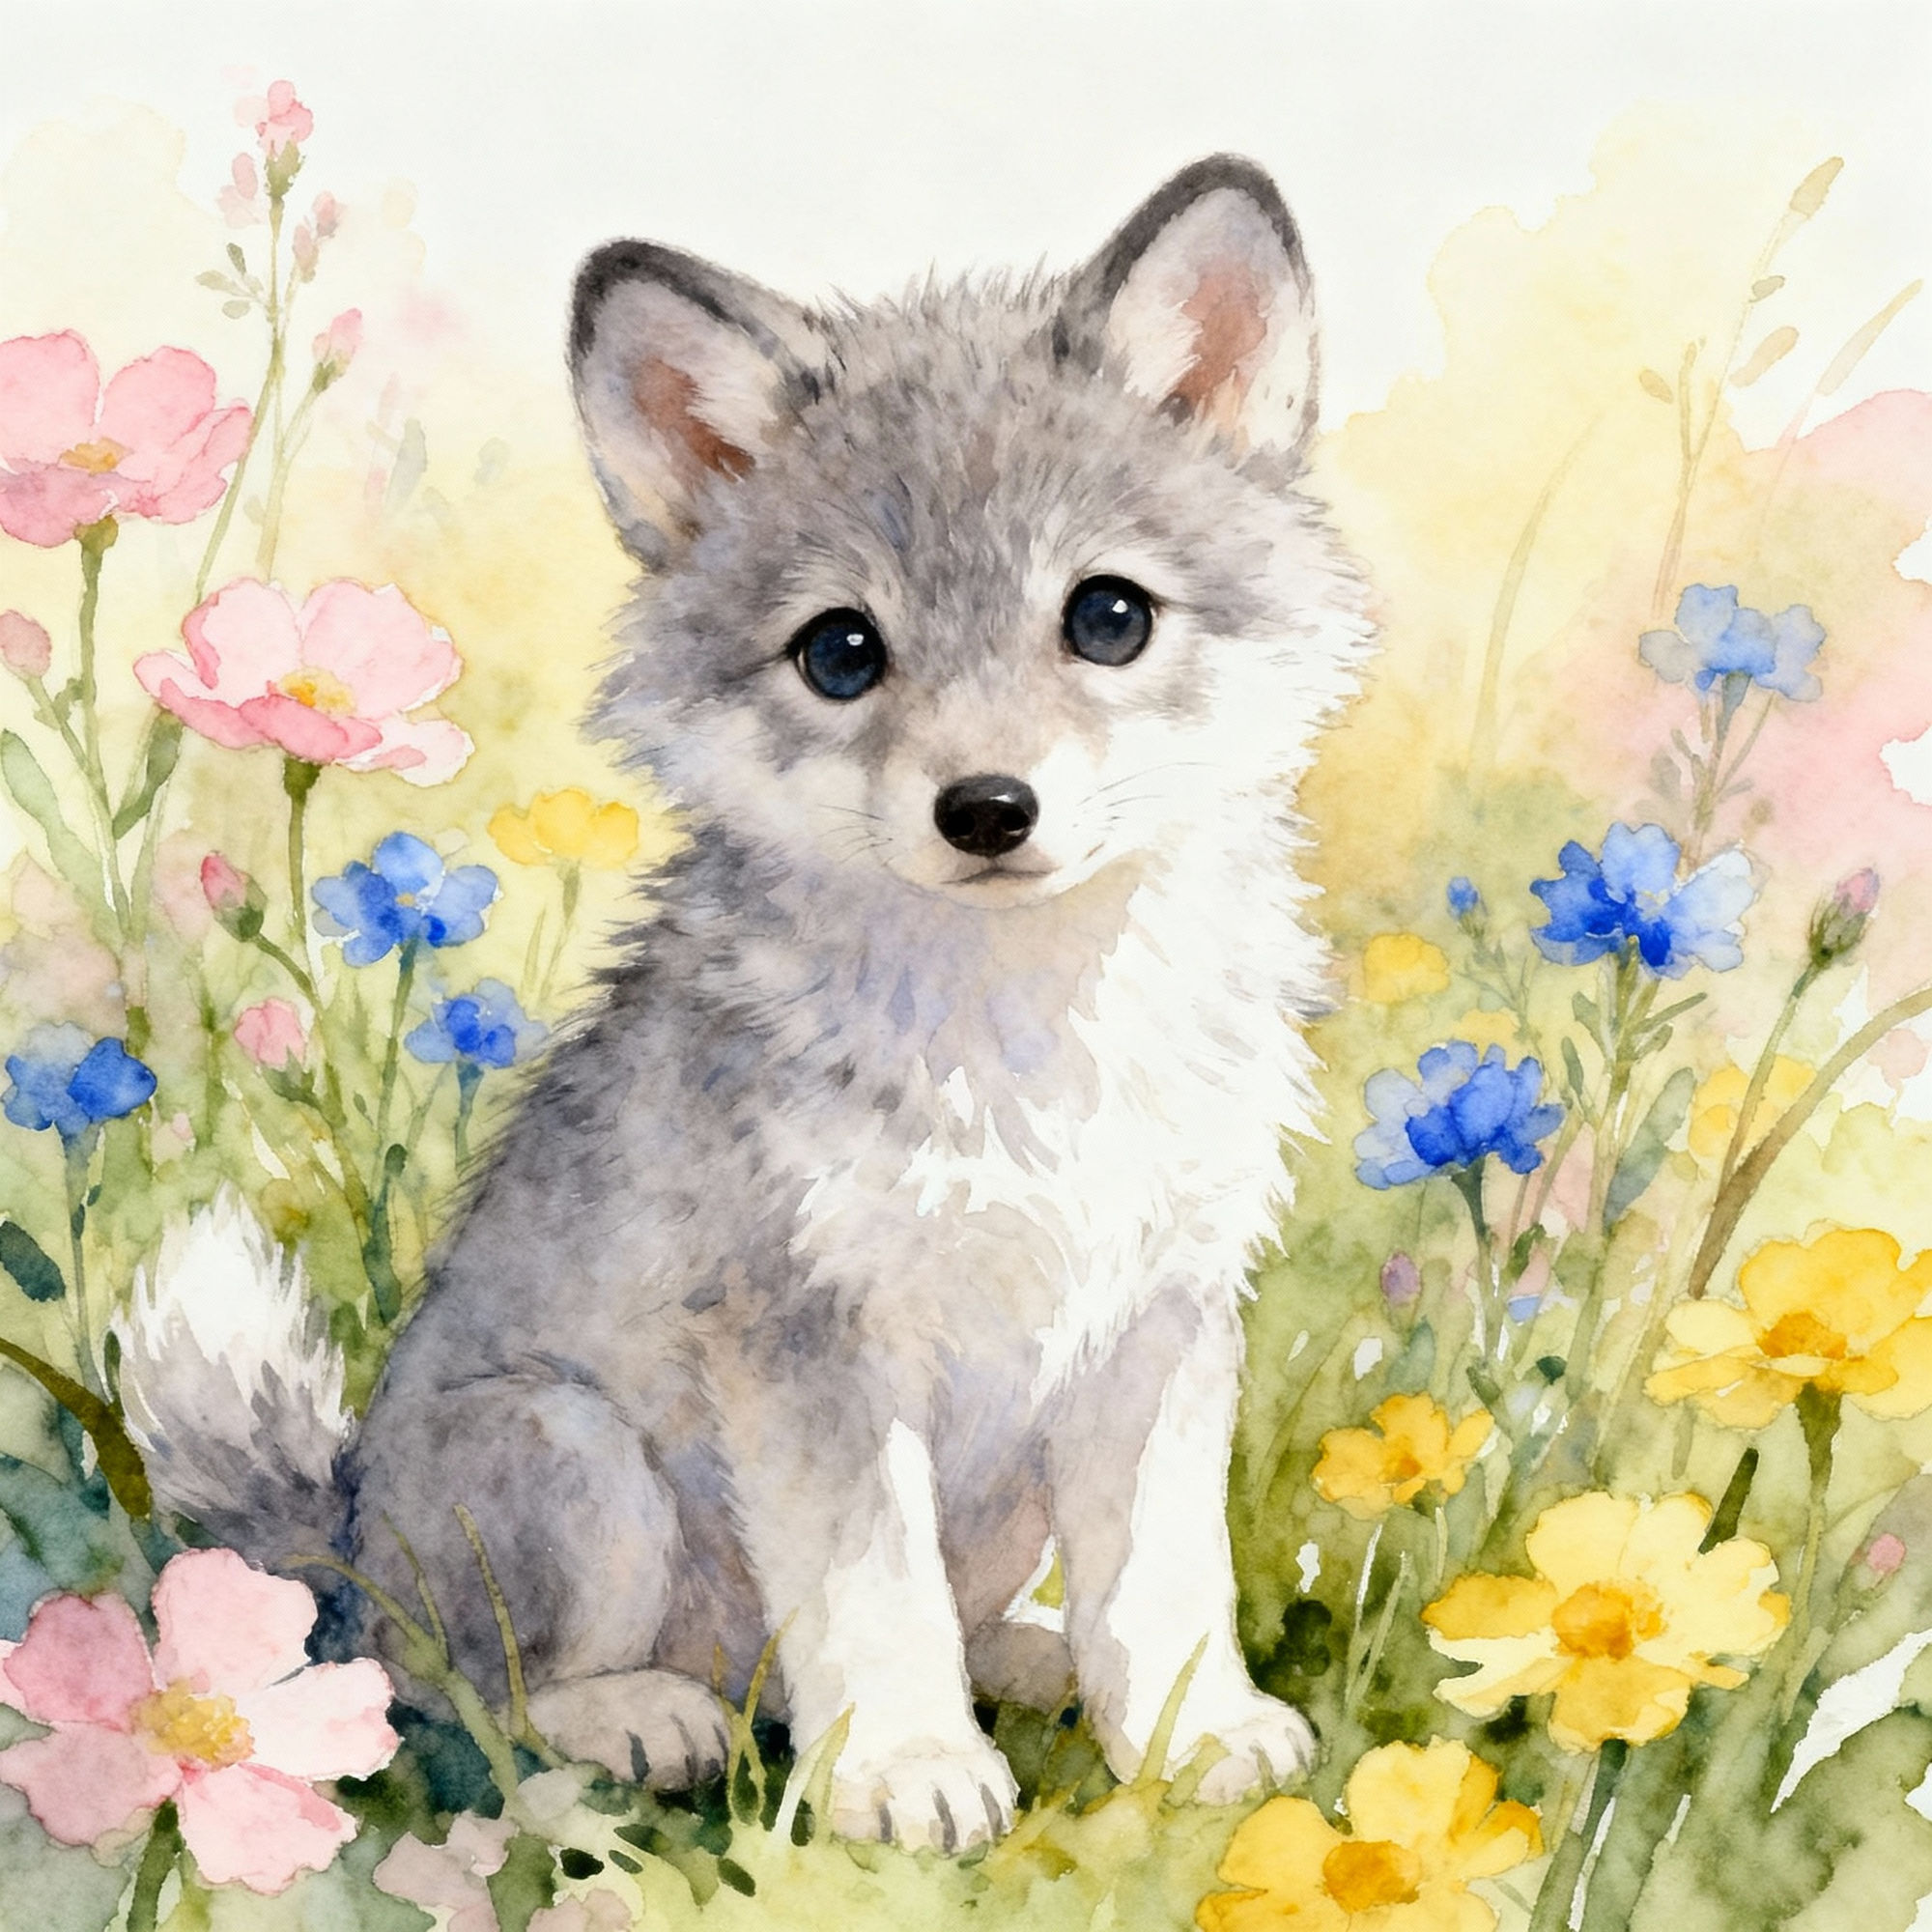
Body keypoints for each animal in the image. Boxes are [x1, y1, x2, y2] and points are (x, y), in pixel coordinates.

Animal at [123, 155, 1372, 1852]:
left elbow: (1163, 1582)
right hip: (579, 1465)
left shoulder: (1158, 1318)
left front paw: (1189, 1735)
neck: (1018, 1043)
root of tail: (347, 1540)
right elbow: (871, 1595)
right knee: (454, 1694)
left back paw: (1027, 1661)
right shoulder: (806, 1345)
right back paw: (645, 1719)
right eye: (842, 653)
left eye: (1107, 618)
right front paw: (909, 1773)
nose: (988, 808)